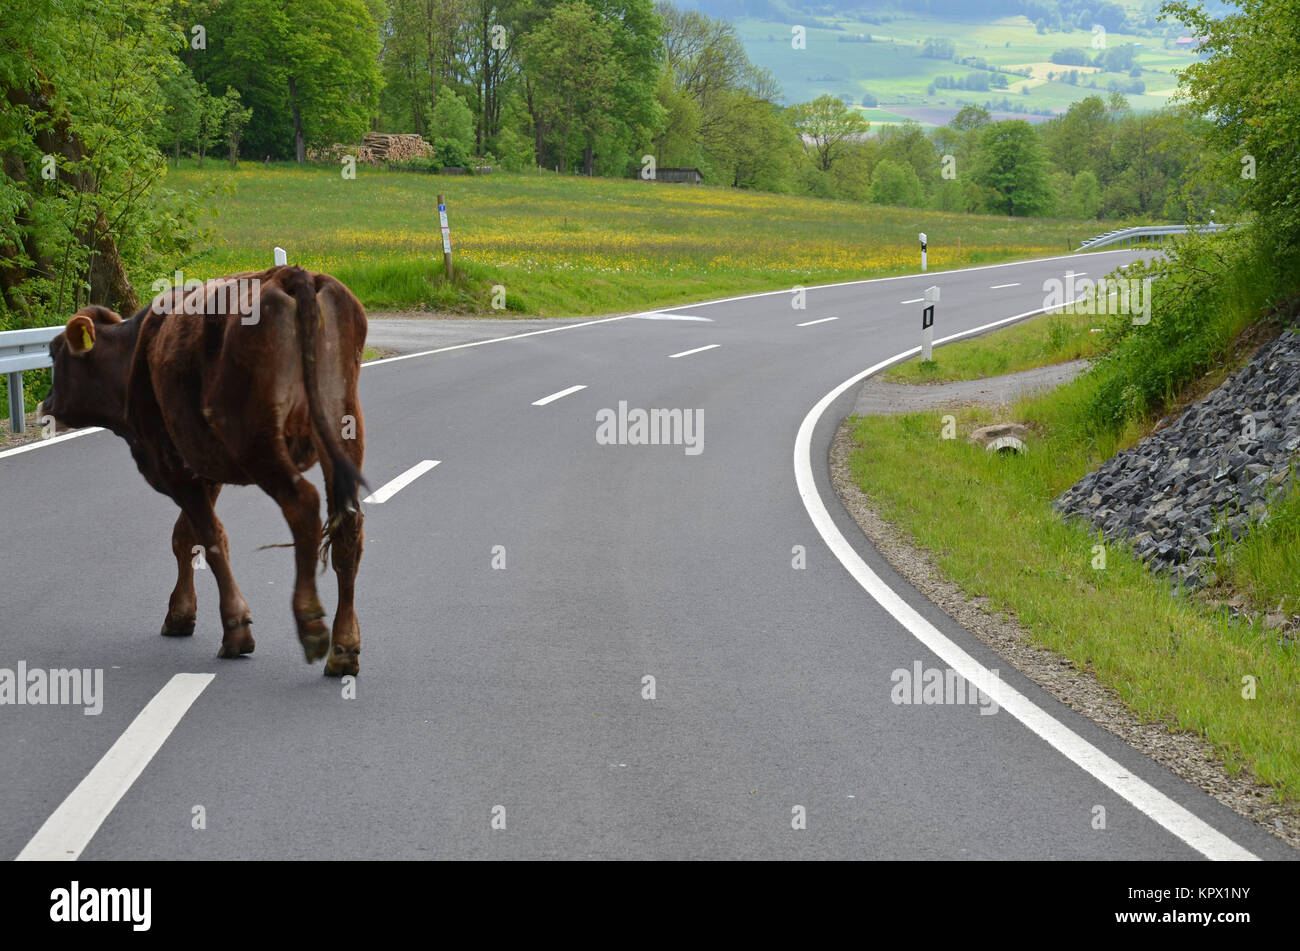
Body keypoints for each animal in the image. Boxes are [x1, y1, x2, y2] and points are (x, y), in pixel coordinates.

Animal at [37, 265, 368, 676]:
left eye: (54, 353)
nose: (45, 403)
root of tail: (292, 274)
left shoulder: (174, 468)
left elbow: (210, 540)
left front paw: (236, 629)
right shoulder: (204, 470)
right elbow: (186, 537)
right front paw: (180, 613)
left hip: (257, 442)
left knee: (303, 505)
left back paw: (311, 624)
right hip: (343, 426)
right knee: (347, 528)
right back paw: (344, 647)